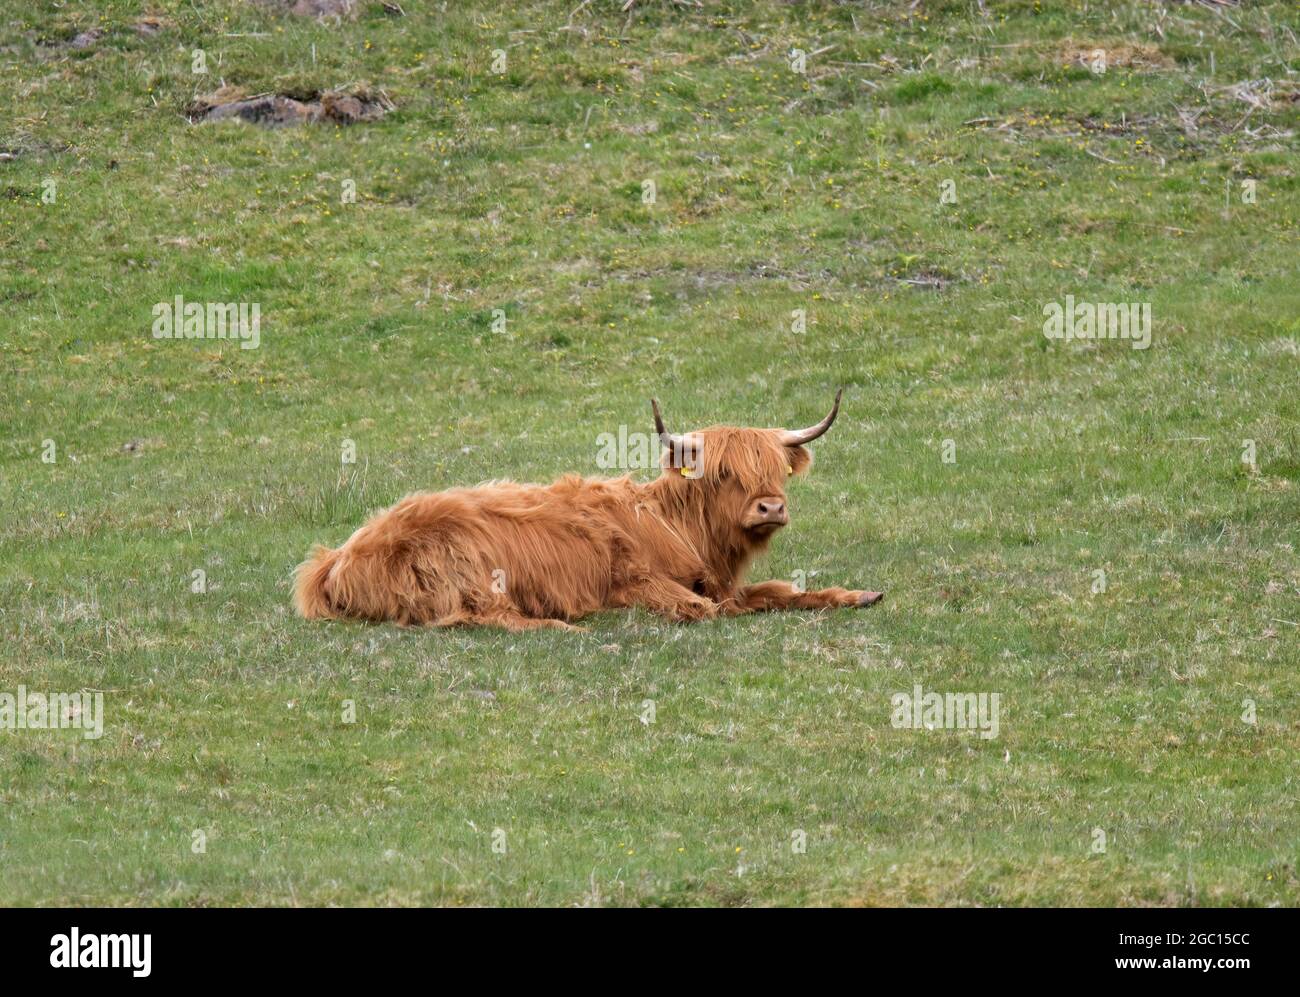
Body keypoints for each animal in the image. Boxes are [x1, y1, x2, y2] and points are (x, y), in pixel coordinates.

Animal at [293, 389, 883, 631]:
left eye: (778, 470)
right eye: (723, 474)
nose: (771, 507)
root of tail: (336, 557)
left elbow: (775, 591)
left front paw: (858, 594)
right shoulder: (639, 579)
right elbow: (712, 607)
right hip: (469, 571)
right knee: (479, 617)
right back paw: (569, 625)